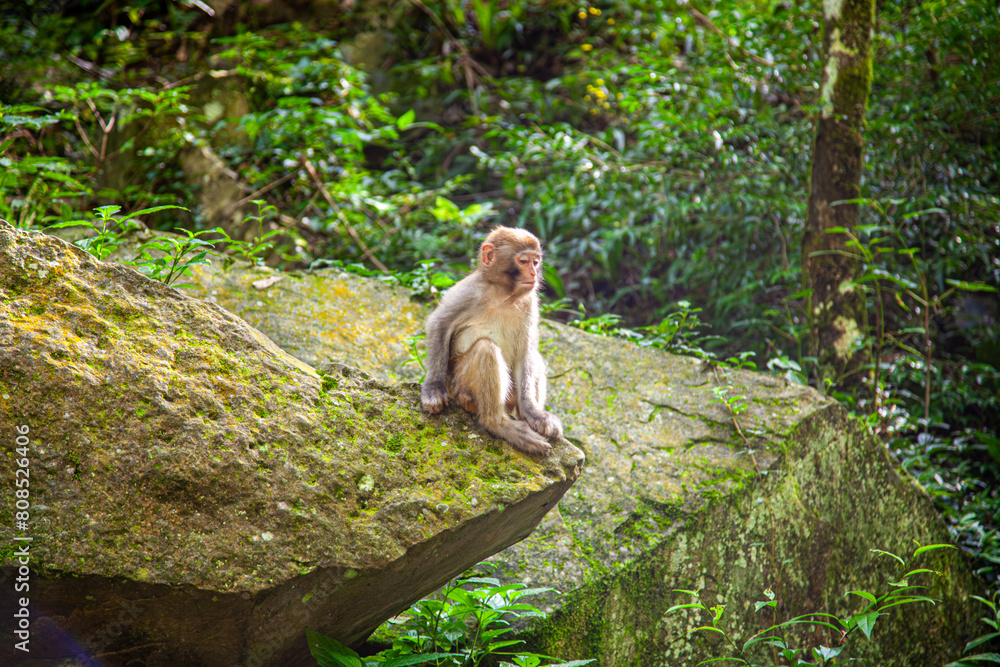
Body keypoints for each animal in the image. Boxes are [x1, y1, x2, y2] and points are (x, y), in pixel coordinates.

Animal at [420, 226, 563, 456]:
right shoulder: (470, 291)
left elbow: (525, 354)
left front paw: (533, 413)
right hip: (461, 389)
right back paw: (498, 423)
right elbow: (439, 325)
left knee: (533, 358)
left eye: (536, 262)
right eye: (524, 261)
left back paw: (526, 417)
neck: (504, 294)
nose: (533, 274)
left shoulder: (530, 302)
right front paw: (432, 389)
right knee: (485, 349)